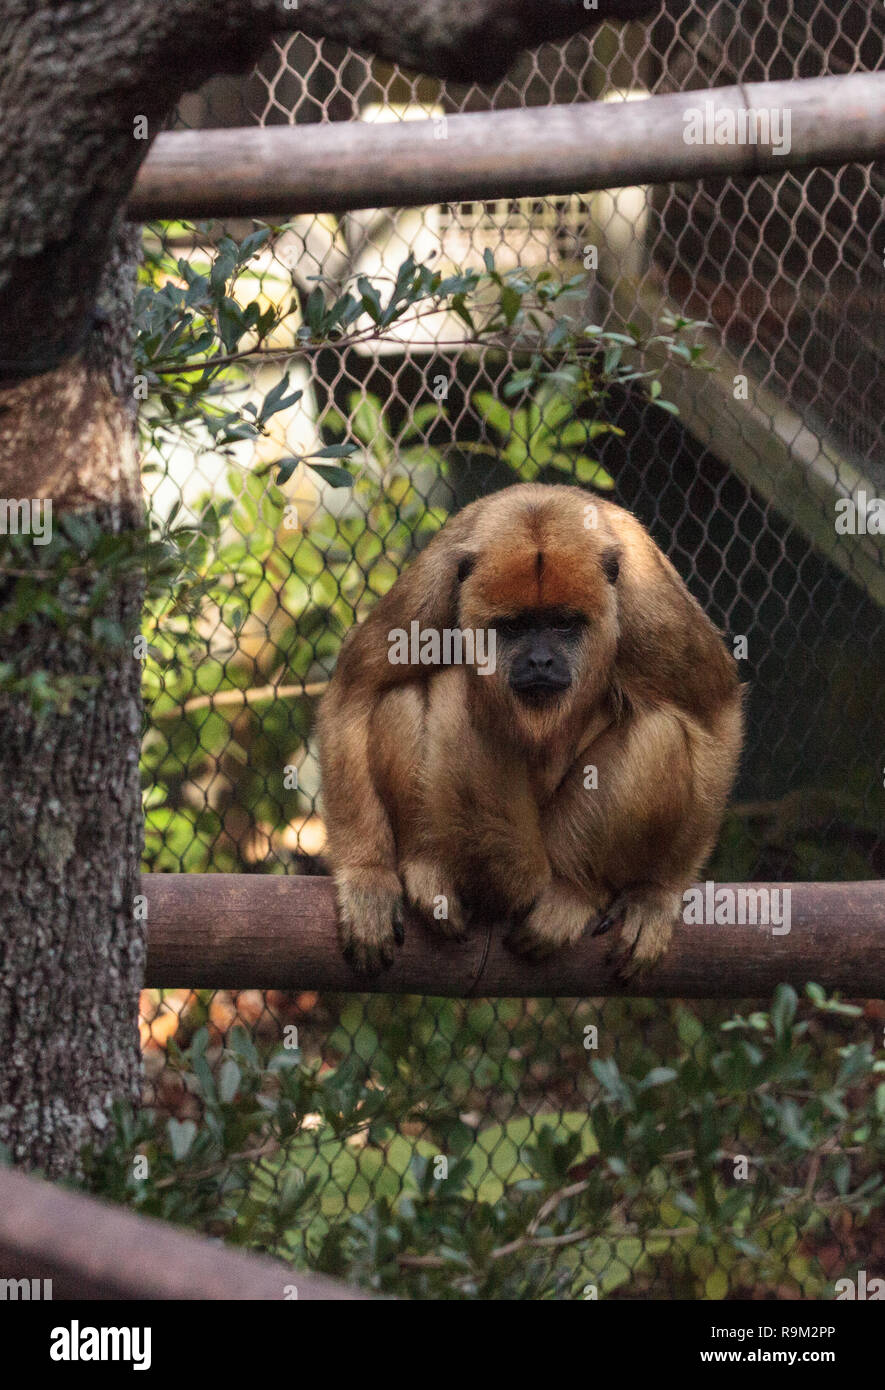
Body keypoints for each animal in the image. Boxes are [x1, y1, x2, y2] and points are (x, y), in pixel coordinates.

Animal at [316, 483, 743, 979]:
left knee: (663, 734)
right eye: (515, 625)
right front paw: (368, 878)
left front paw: (656, 895)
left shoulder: (647, 599)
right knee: (398, 698)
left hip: (556, 848)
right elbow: (356, 691)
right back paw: (429, 866)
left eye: (563, 622)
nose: (540, 661)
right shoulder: (434, 582)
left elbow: (712, 713)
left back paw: (576, 889)